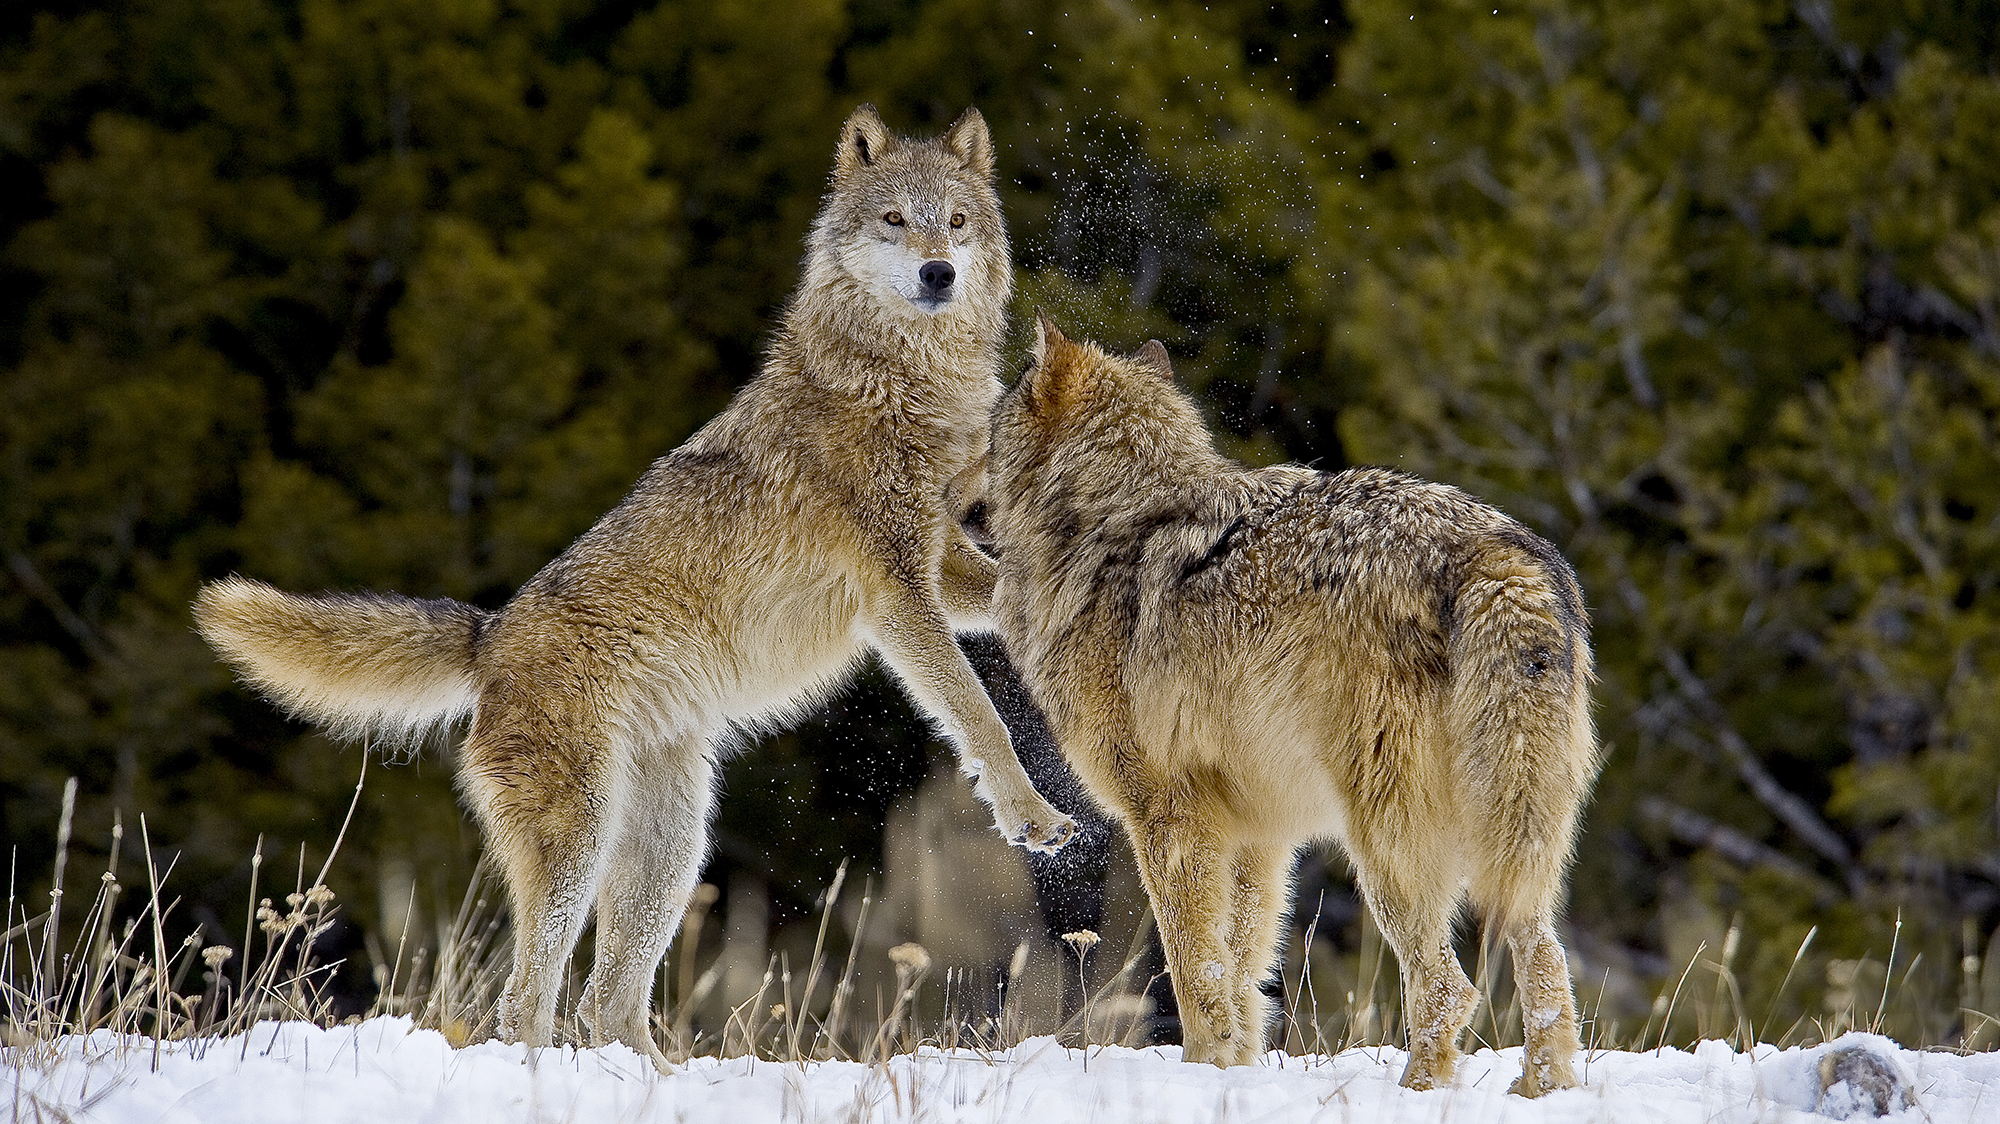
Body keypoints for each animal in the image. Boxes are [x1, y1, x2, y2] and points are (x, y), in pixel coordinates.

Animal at [193, 106, 1076, 1064]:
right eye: (894, 221)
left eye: (955, 221)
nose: (939, 272)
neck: (897, 384)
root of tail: (489, 635)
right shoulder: (898, 594)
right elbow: (981, 716)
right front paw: (1031, 816)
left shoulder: (943, 563)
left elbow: (1008, 596)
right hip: (580, 846)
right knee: (529, 1003)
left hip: (670, 849)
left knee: (606, 1003)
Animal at [956, 318, 1600, 1096]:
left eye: (989, 438)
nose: (948, 501)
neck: (1113, 530)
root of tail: (1492, 552)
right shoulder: (1260, 839)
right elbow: (1242, 977)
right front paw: (1232, 1073)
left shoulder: (1169, 823)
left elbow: (1196, 974)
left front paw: (1200, 1072)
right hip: (1515, 854)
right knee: (1548, 971)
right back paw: (1542, 1093)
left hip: (1385, 850)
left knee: (1448, 988)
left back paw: (1417, 1093)